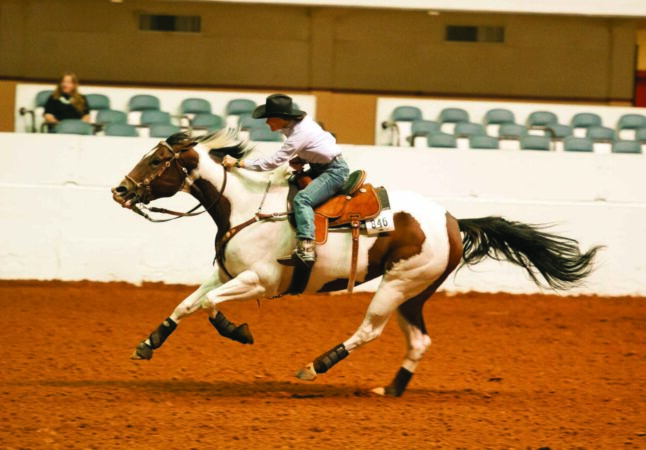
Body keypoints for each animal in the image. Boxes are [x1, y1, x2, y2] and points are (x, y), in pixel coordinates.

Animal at [111, 130, 601, 397]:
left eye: (158, 160)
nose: (120, 191)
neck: (246, 206)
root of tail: (451, 221)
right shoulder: (225, 272)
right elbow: (186, 303)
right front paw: (148, 344)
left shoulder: (258, 280)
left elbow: (210, 306)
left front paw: (240, 331)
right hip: (413, 294)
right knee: (419, 341)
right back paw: (391, 388)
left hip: (397, 285)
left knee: (369, 330)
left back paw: (316, 366)